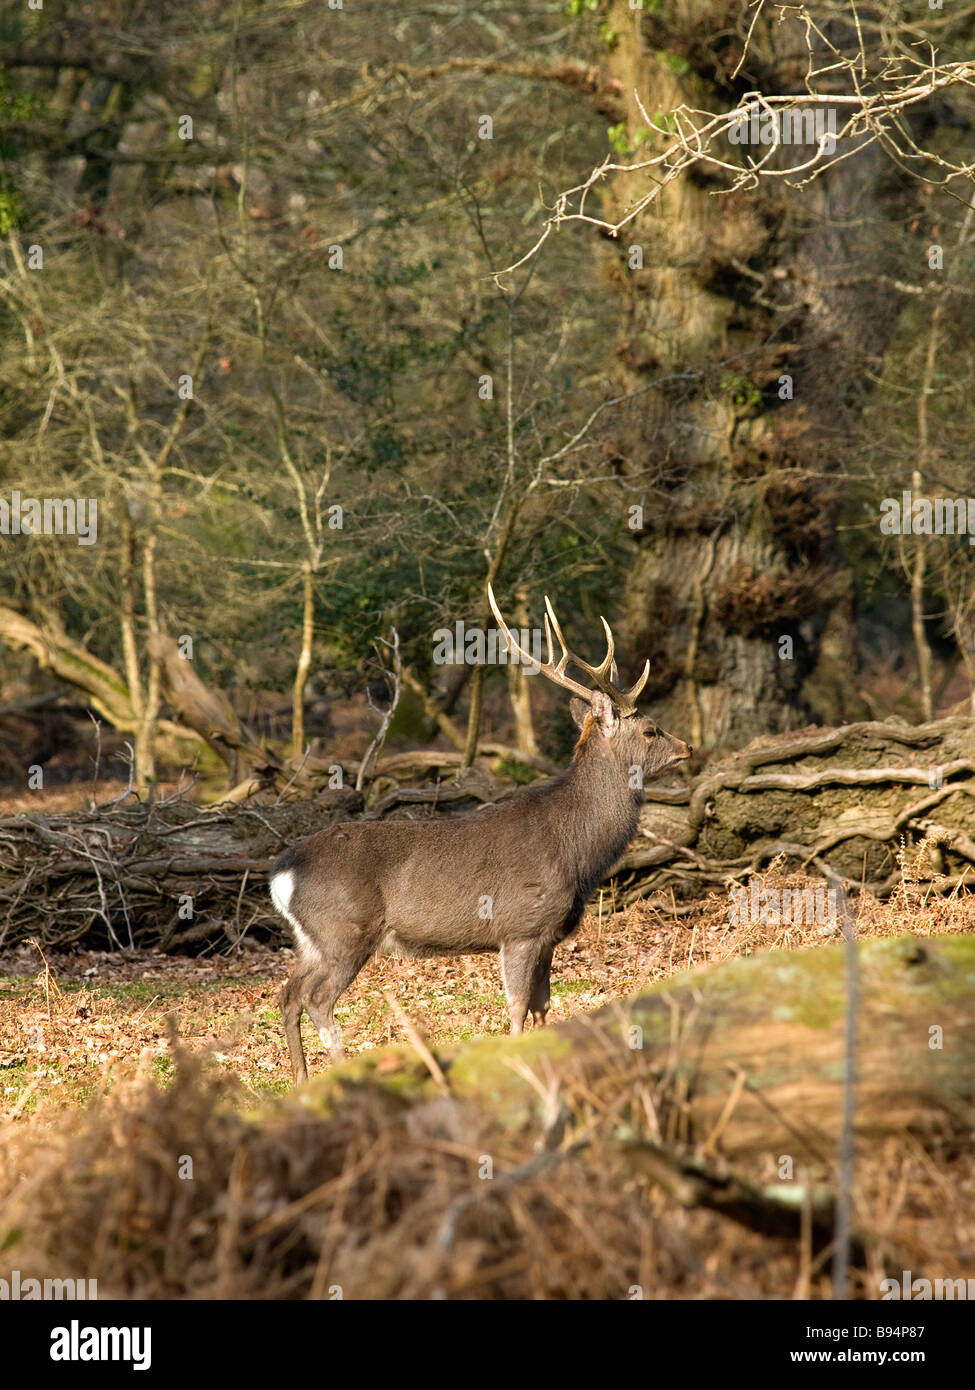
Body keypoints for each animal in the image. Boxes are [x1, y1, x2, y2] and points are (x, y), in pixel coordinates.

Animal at [269, 585, 692, 1084]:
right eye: (650, 730)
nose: (688, 747)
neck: (576, 851)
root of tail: (281, 876)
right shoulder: (520, 926)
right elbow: (517, 1009)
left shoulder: (548, 936)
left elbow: (544, 1007)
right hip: (344, 930)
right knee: (317, 1000)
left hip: (311, 940)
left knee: (288, 994)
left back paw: (301, 1080)